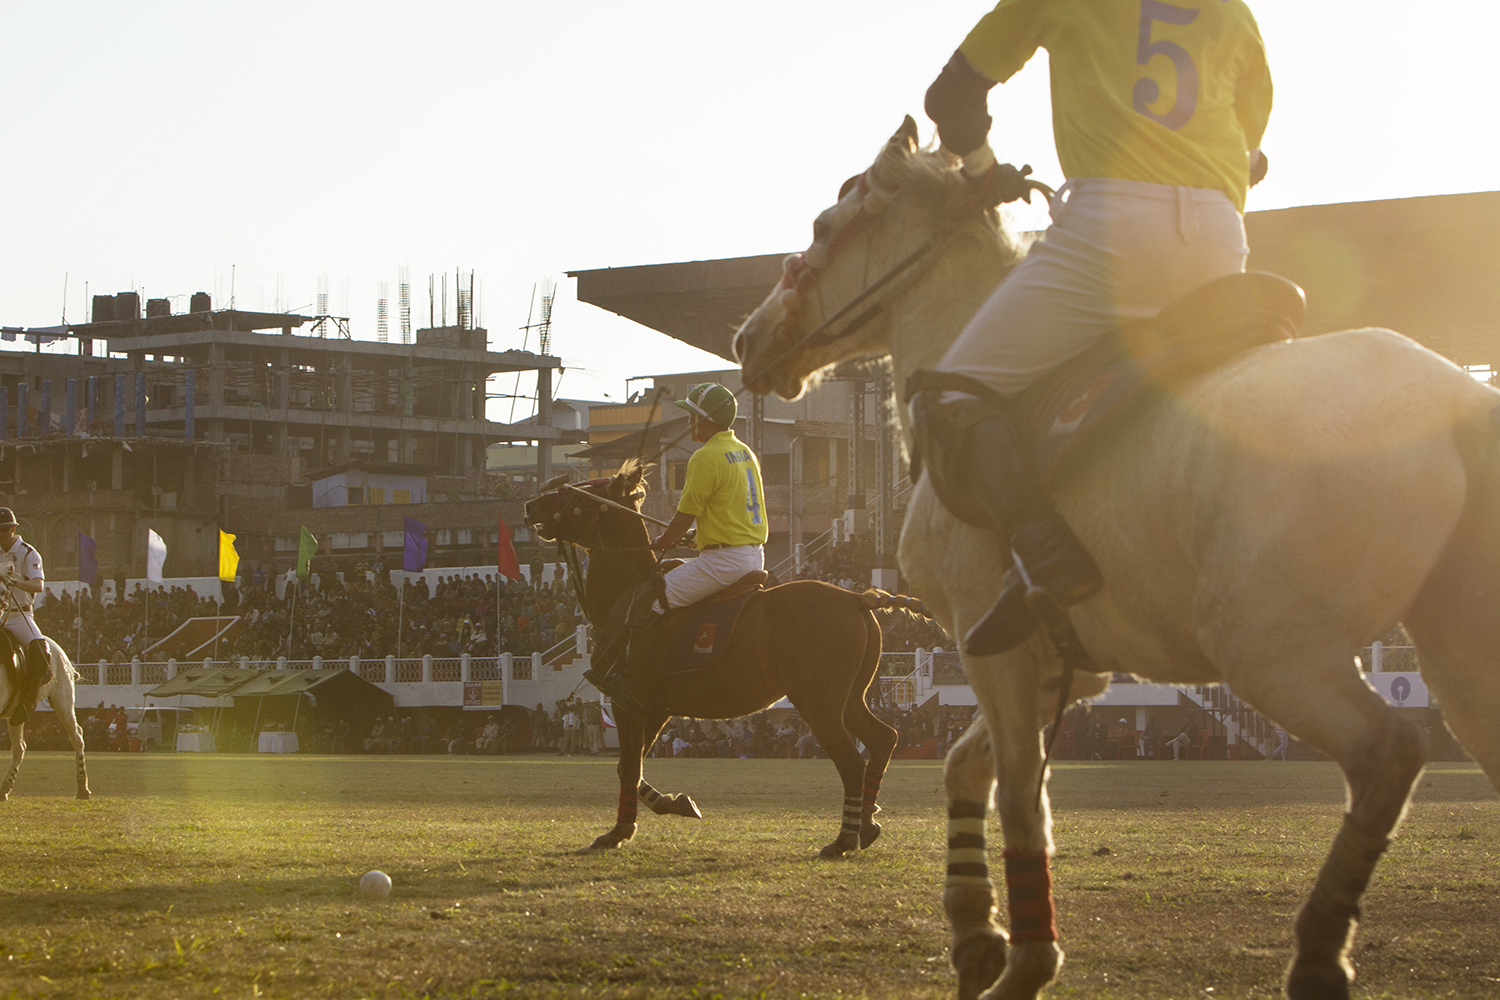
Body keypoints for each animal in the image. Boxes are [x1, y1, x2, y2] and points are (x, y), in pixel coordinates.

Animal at [523, 461, 904, 857]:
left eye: (579, 493)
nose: (530, 506)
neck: (626, 591)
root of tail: (857, 599)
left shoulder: (627, 701)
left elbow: (628, 767)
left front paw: (618, 832)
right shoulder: (656, 707)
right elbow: (631, 767)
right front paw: (675, 803)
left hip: (817, 702)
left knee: (851, 761)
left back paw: (843, 839)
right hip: (849, 697)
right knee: (883, 738)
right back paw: (866, 823)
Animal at [733, 116, 1500, 999]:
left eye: (825, 227)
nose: (749, 339)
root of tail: (1459, 398)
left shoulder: (989, 645)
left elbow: (1020, 792)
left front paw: (1025, 958)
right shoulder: (1061, 667)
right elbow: (968, 769)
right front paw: (976, 935)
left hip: (1271, 649)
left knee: (1389, 751)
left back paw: (1316, 952)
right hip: (1458, 661)